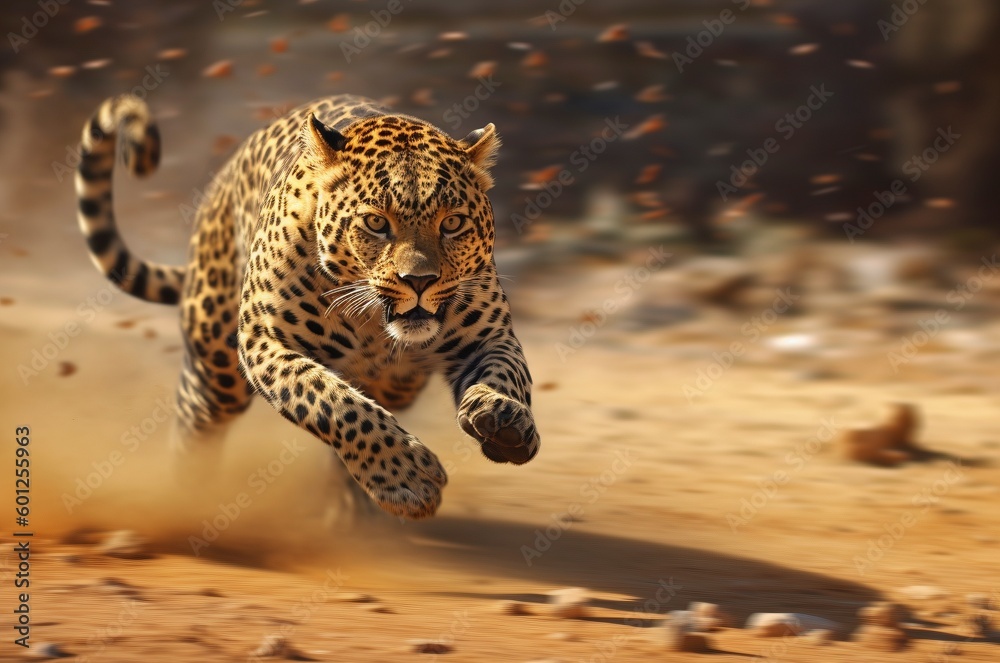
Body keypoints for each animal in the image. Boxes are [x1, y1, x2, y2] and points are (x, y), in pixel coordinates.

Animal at [74, 93, 540, 520]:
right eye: (376, 222)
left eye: (453, 223)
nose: (420, 281)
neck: (373, 324)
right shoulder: (264, 342)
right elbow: (332, 402)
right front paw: (407, 478)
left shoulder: (489, 336)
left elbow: (506, 374)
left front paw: (505, 422)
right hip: (216, 365)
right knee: (195, 419)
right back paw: (188, 495)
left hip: (400, 383)